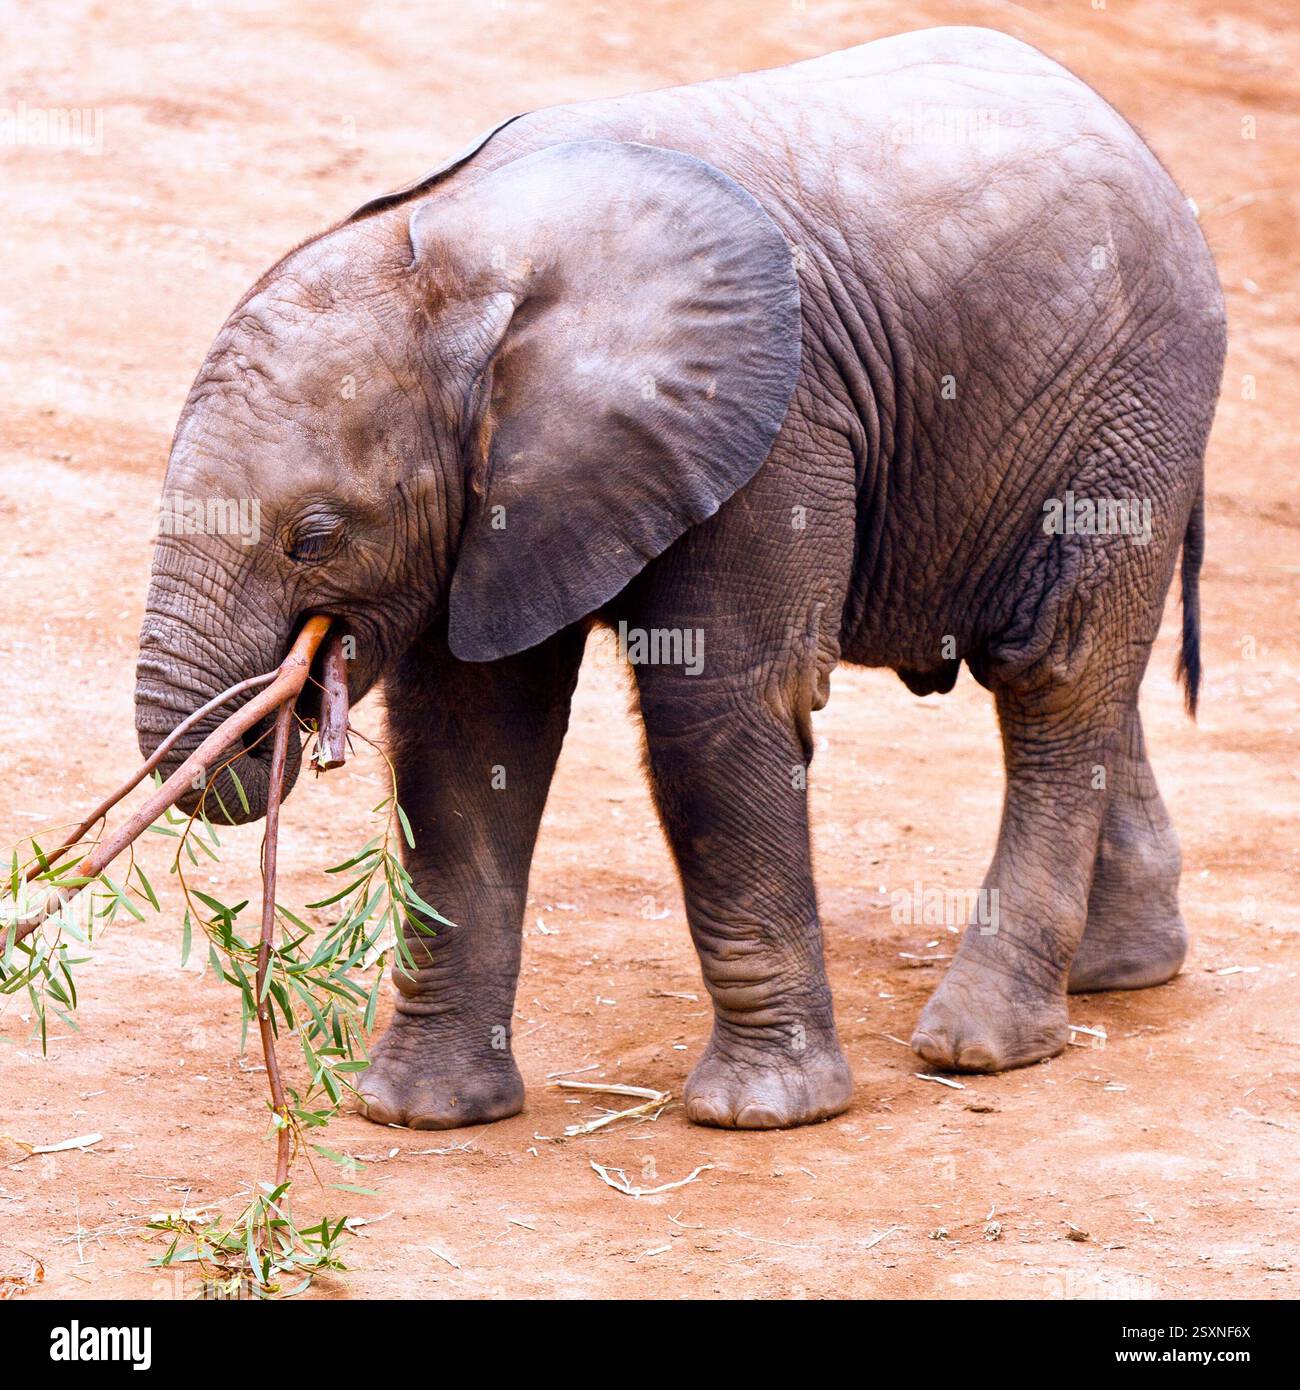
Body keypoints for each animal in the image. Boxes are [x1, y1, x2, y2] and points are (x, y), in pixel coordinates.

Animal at [134, 26, 1225, 1131]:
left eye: (313, 537)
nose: (276, 728)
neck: (457, 247)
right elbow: (468, 733)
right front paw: (422, 1114)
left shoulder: (775, 424)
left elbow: (716, 705)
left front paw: (765, 1114)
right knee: (1078, 674)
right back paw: (1115, 974)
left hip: (1131, 407)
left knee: (1055, 676)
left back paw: (981, 1044)